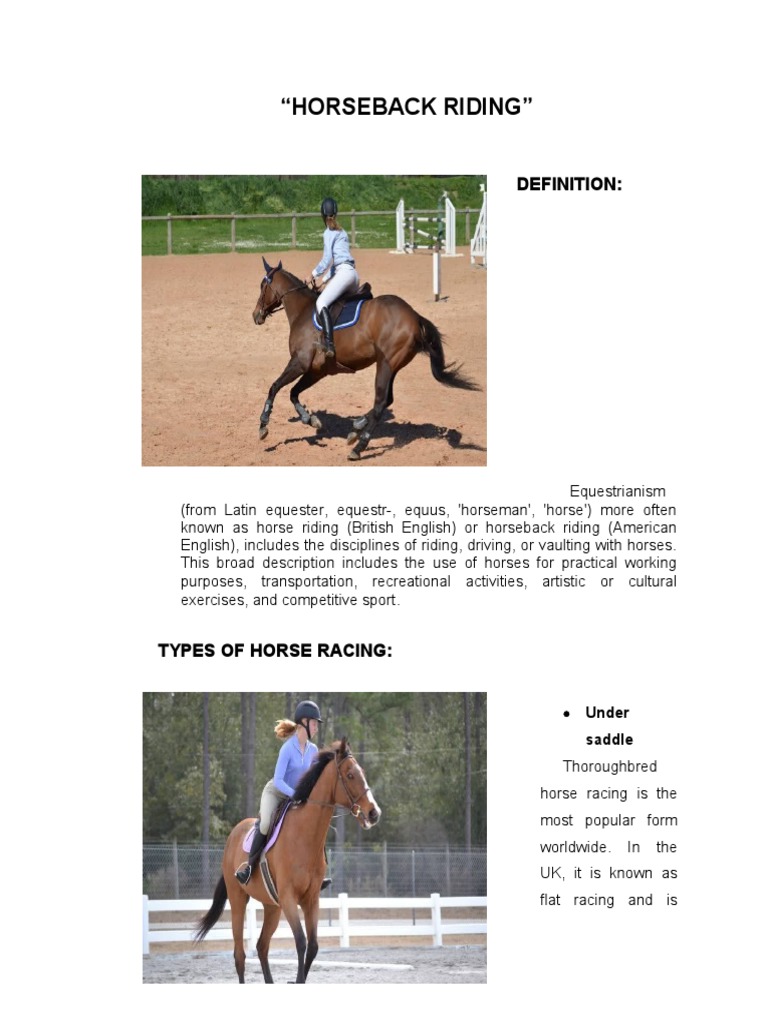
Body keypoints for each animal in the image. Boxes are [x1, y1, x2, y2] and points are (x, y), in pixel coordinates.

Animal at [194, 738, 381, 984]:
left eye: (363, 773)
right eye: (350, 775)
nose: (374, 813)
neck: (304, 836)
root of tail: (233, 835)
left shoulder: (311, 899)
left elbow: (313, 946)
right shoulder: (289, 897)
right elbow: (301, 942)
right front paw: (297, 978)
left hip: (272, 907)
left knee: (262, 946)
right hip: (238, 899)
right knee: (240, 955)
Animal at [252, 257, 479, 460]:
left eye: (263, 285)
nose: (256, 315)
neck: (303, 310)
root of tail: (414, 316)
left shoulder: (300, 363)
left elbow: (275, 387)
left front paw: (263, 424)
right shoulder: (317, 371)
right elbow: (293, 392)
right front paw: (309, 418)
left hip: (385, 364)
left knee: (380, 403)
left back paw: (358, 446)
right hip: (392, 365)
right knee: (387, 399)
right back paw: (357, 426)